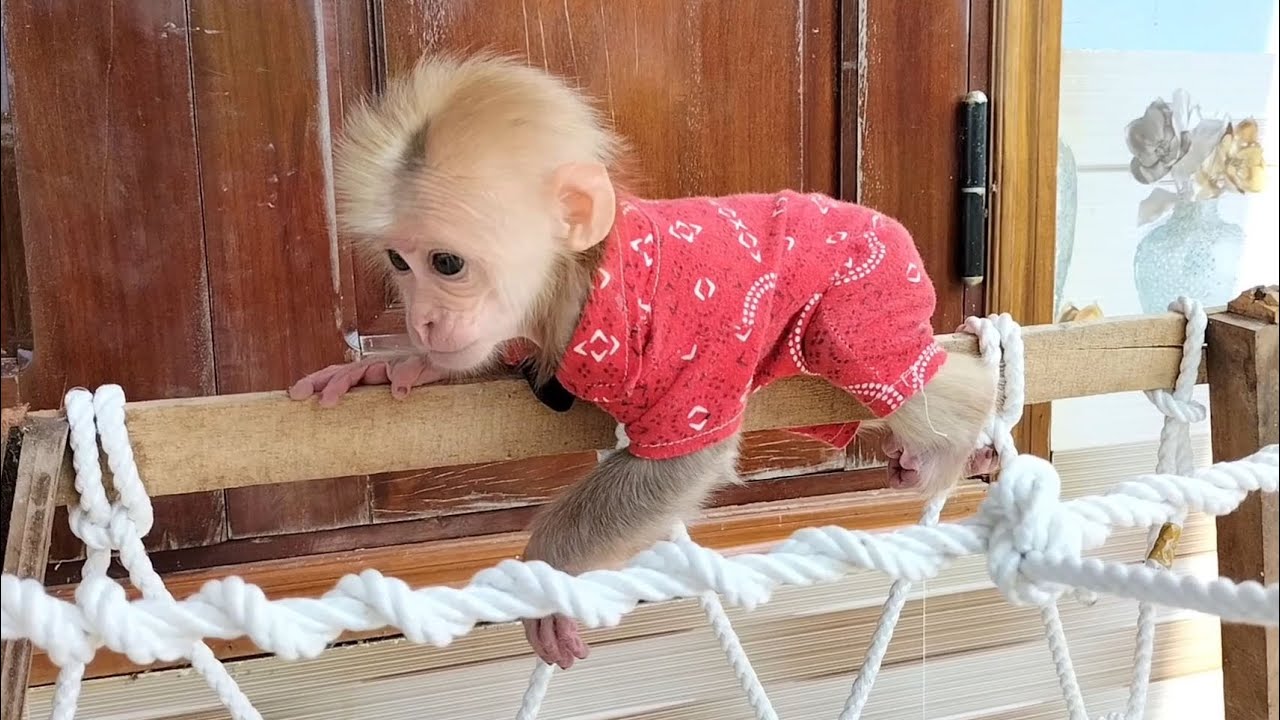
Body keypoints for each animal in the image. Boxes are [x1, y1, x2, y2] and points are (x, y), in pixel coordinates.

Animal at [288, 54, 999, 670]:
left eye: (447, 263)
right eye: (400, 263)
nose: (421, 319)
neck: (578, 281)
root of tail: (880, 220)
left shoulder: (673, 330)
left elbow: (688, 455)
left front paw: (547, 564)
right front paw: (402, 364)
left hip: (871, 277)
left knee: (868, 358)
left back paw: (965, 430)